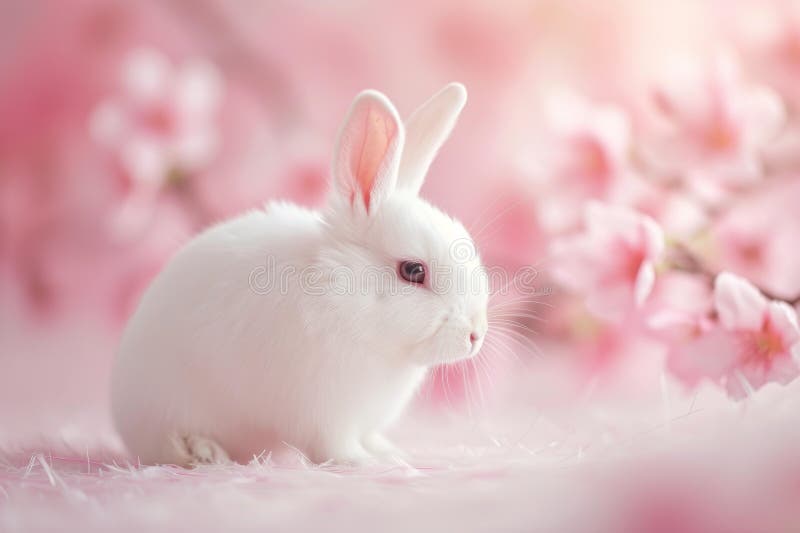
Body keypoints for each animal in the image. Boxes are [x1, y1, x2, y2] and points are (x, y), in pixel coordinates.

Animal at [111, 82, 489, 466]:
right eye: (413, 271)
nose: (476, 334)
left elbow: (369, 437)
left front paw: (390, 451)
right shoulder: (326, 415)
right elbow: (337, 449)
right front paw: (370, 463)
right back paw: (203, 451)